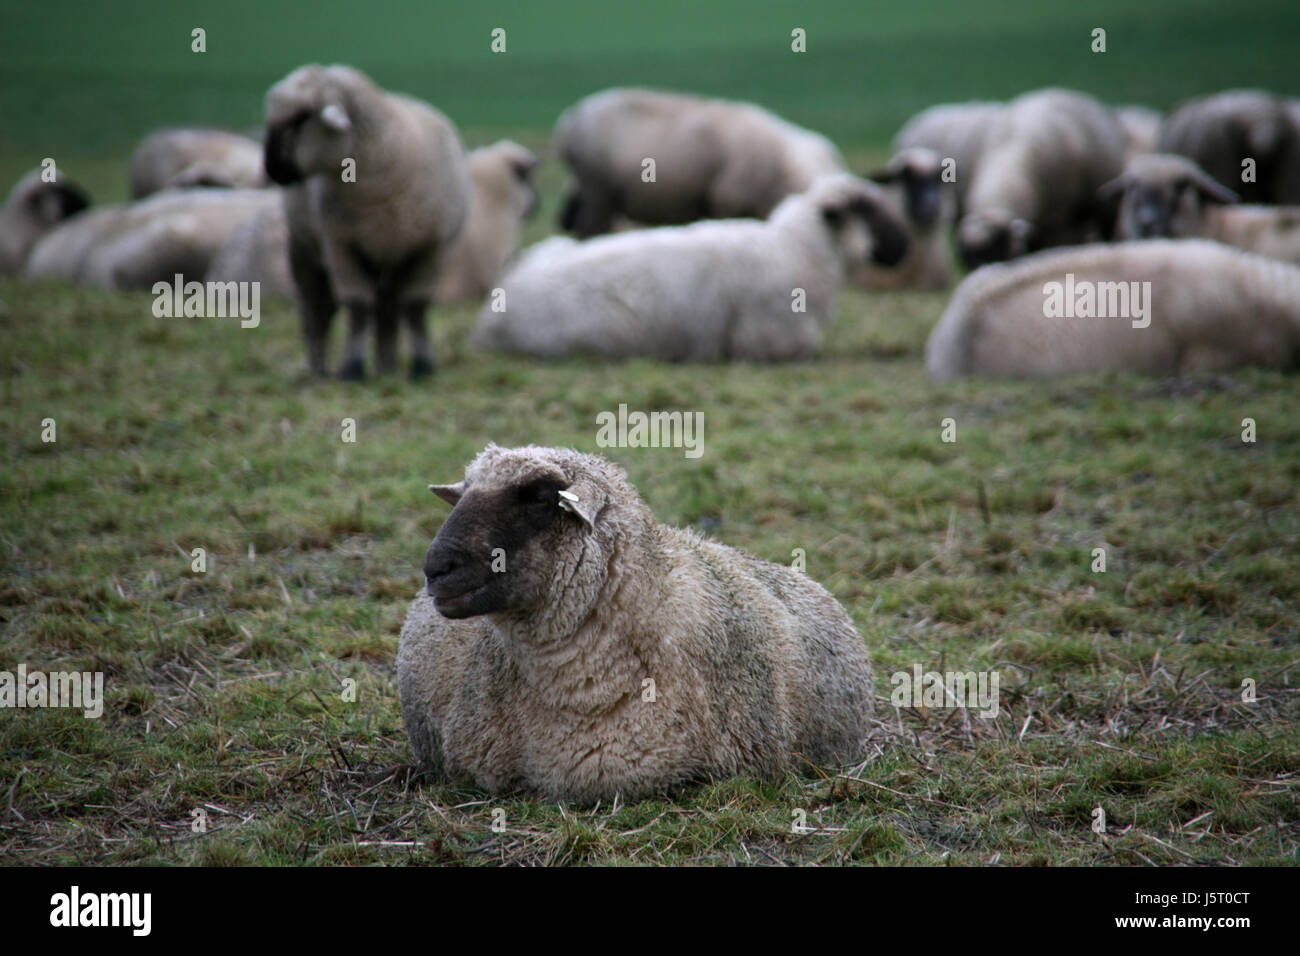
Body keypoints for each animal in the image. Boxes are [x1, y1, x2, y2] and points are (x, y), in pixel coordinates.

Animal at [264, 64, 471, 380]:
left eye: (302, 118)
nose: (271, 169)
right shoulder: (340, 245)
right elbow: (358, 306)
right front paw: (352, 368)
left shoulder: (431, 249)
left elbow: (415, 307)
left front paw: (423, 367)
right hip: (304, 248)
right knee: (316, 310)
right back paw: (317, 369)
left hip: (388, 255)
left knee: (387, 309)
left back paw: (387, 367)